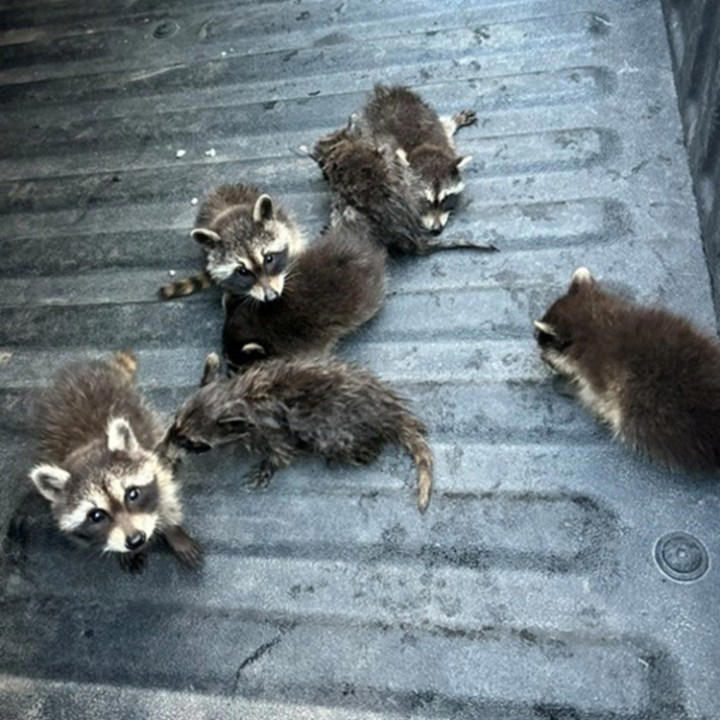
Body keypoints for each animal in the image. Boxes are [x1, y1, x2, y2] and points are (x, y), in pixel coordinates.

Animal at [29, 351, 201, 573]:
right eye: (96, 516)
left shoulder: (154, 462)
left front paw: (173, 530)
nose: (136, 540)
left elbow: (167, 498)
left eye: (132, 494)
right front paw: (126, 551)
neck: (85, 446)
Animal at [160, 354, 433, 512]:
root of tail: (388, 410)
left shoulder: (271, 430)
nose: (161, 450)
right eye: (174, 424)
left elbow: (282, 451)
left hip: (339, 431)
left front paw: (268, 467)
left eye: (191, 442)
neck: (238, 396)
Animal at [535, 267, 720, 470]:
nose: (541, 357)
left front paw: (570, 387)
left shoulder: (598, 377)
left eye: (542, 344)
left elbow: (593, 397)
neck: (597, 321)